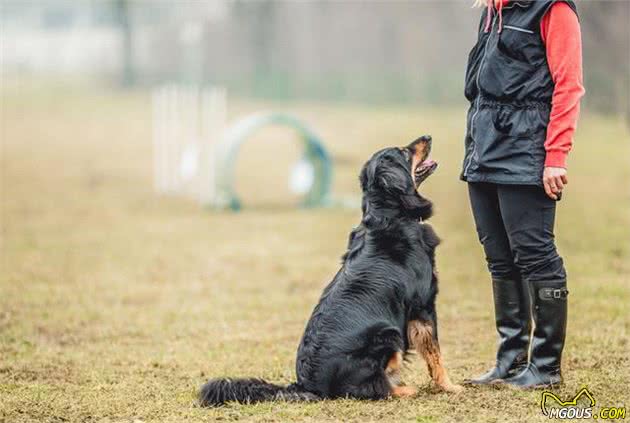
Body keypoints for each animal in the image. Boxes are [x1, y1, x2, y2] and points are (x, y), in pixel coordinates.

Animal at [200, 137, 462, 408]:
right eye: (404, 151)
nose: (427, 137)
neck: (391, 215)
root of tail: (307, 385)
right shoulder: (423, 307)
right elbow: (435, 355)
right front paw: (450, 387)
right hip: (389, 335)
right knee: (370, 388)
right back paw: (404, 389)